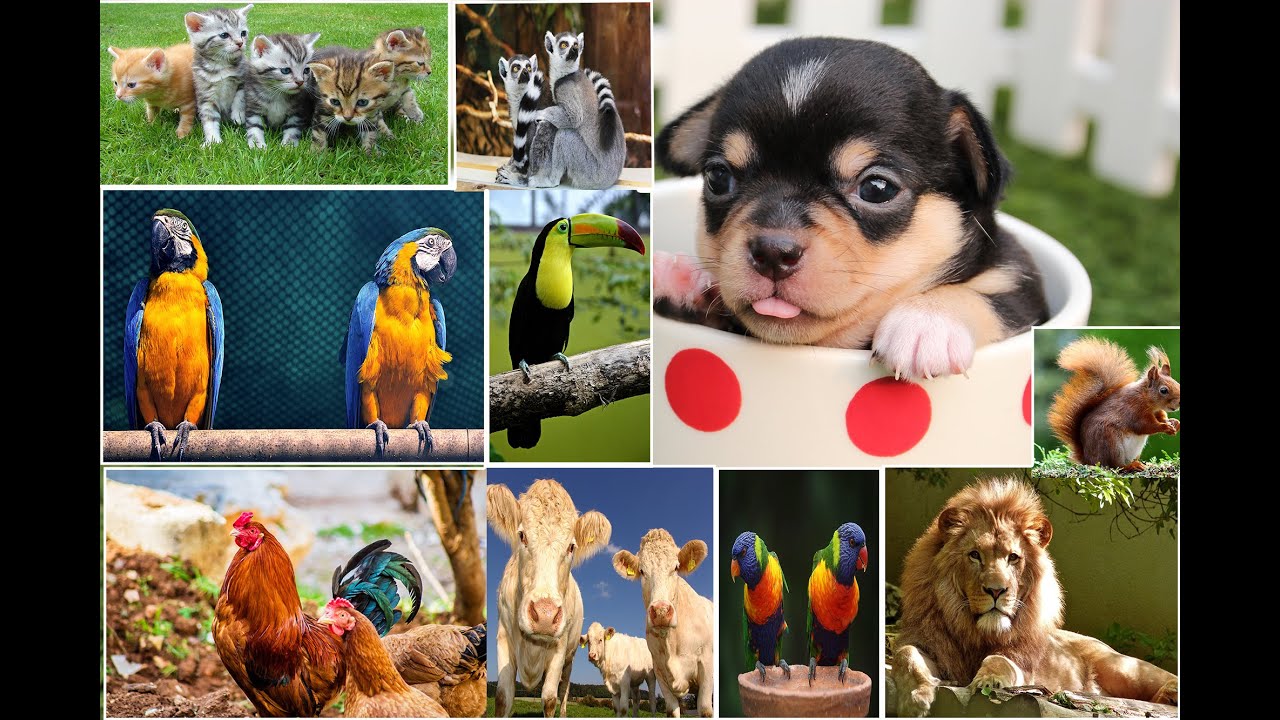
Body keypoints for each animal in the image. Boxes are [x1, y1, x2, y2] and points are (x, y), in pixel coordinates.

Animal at [488, 479, 612, 717]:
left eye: (571, 546)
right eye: (522, 536)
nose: (545, 615)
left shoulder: (560, 647)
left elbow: (549, 699)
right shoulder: (503, 637)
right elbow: (502, 697)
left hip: (570, 658)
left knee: (563, 689)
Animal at [614, 529, 715, 718]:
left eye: (675, 567)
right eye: (642, 571)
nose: (661, 611)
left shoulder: (706, 665)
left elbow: (705, 709)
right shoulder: (660, 672)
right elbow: (671, 711)